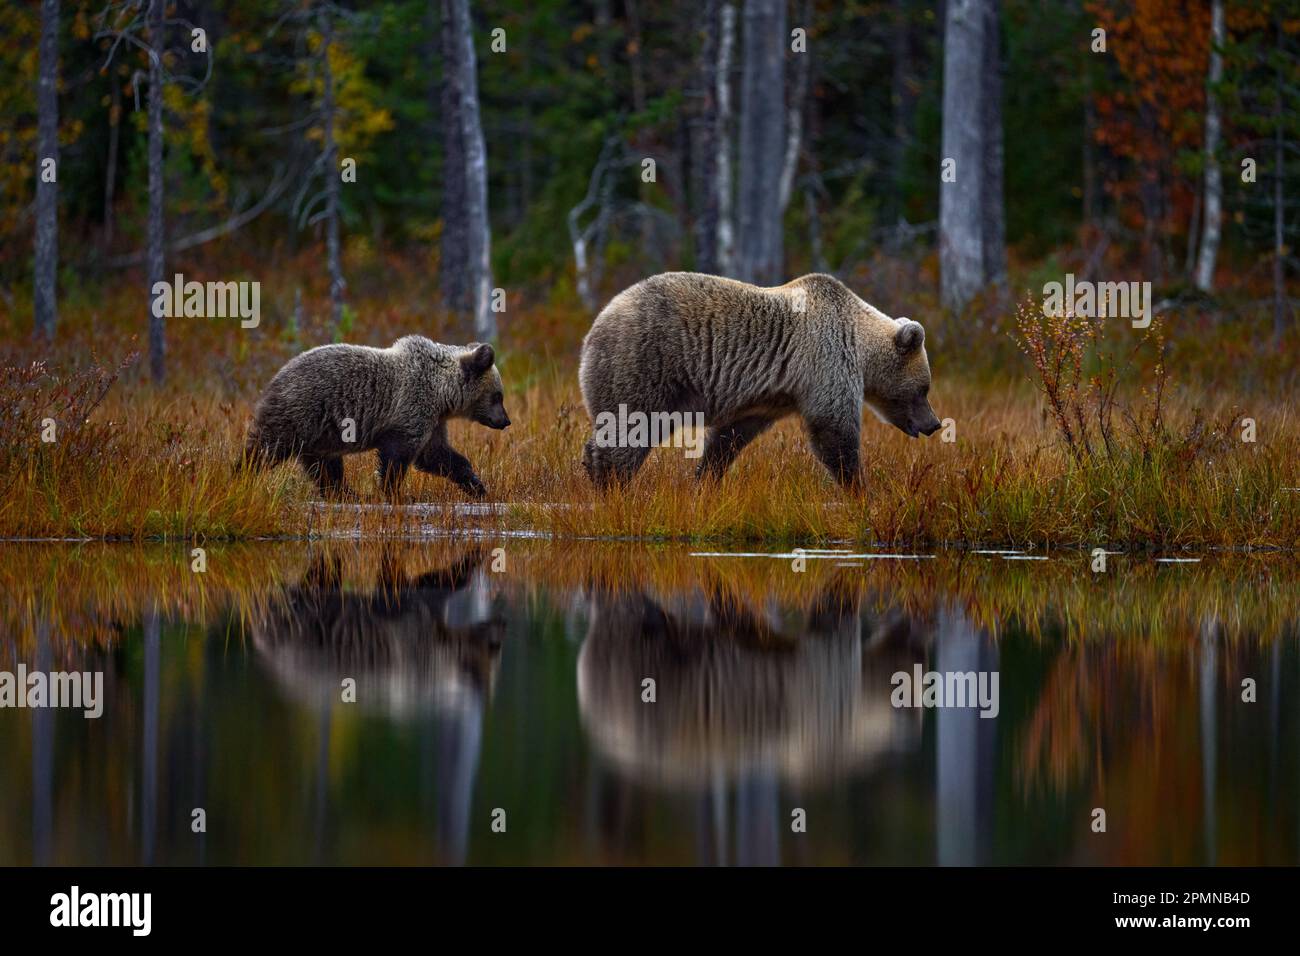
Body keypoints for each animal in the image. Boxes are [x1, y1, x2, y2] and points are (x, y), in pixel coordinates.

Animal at [243, 336, 509, 499]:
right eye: (498, 396)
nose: (506, 421)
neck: (442, 392)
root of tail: (276, 376)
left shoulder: (433, 420)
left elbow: (435, 455)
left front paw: (477, 485)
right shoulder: (412, 407)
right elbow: (397, 457)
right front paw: (395, 493)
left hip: (320, 433)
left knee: (324, 465)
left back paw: (346, 493)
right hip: (300, 411)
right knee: (267, 447)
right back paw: (242, 473)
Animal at [578, 272, 941, 488]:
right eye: (924, 388)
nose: (934, 424)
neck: (860, 344)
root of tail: (598, 321)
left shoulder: (769, 398)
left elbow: (730, 437)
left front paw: (705, 479)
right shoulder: (826, 360)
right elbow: (834, 430)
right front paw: (859, 487)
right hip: (644, 363)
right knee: (630, 427)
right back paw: (611, 482)